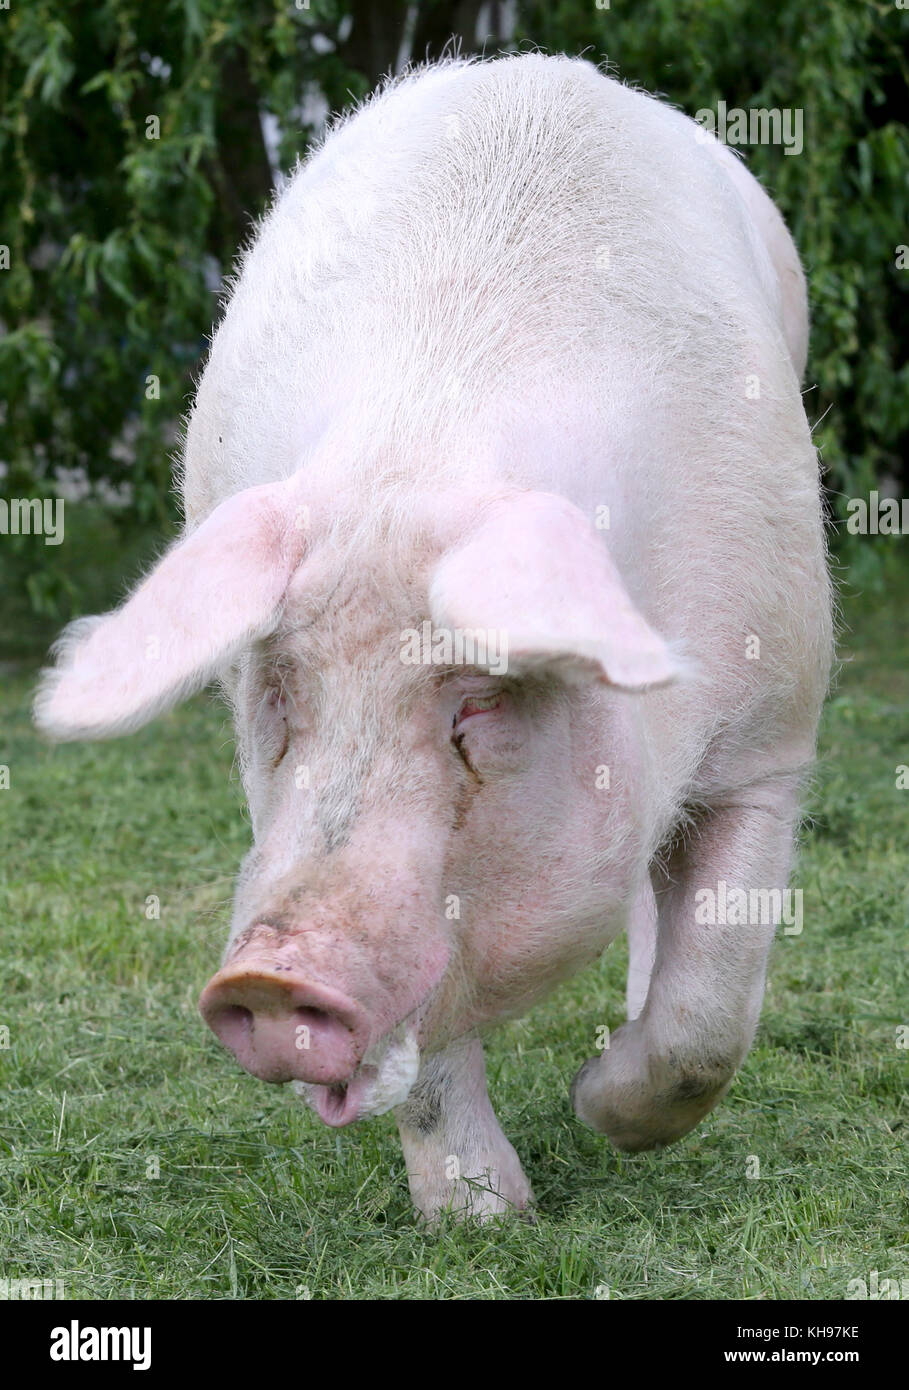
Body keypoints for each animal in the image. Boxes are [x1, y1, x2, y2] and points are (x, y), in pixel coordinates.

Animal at [35, 53, 832, 1222]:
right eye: (280, 691)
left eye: (480, 699)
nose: (272, 977)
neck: (422, 457)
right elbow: (432, 1046)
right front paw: (485, 1218)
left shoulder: (774, 729)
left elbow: (708, 1011)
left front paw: (595, 1106)